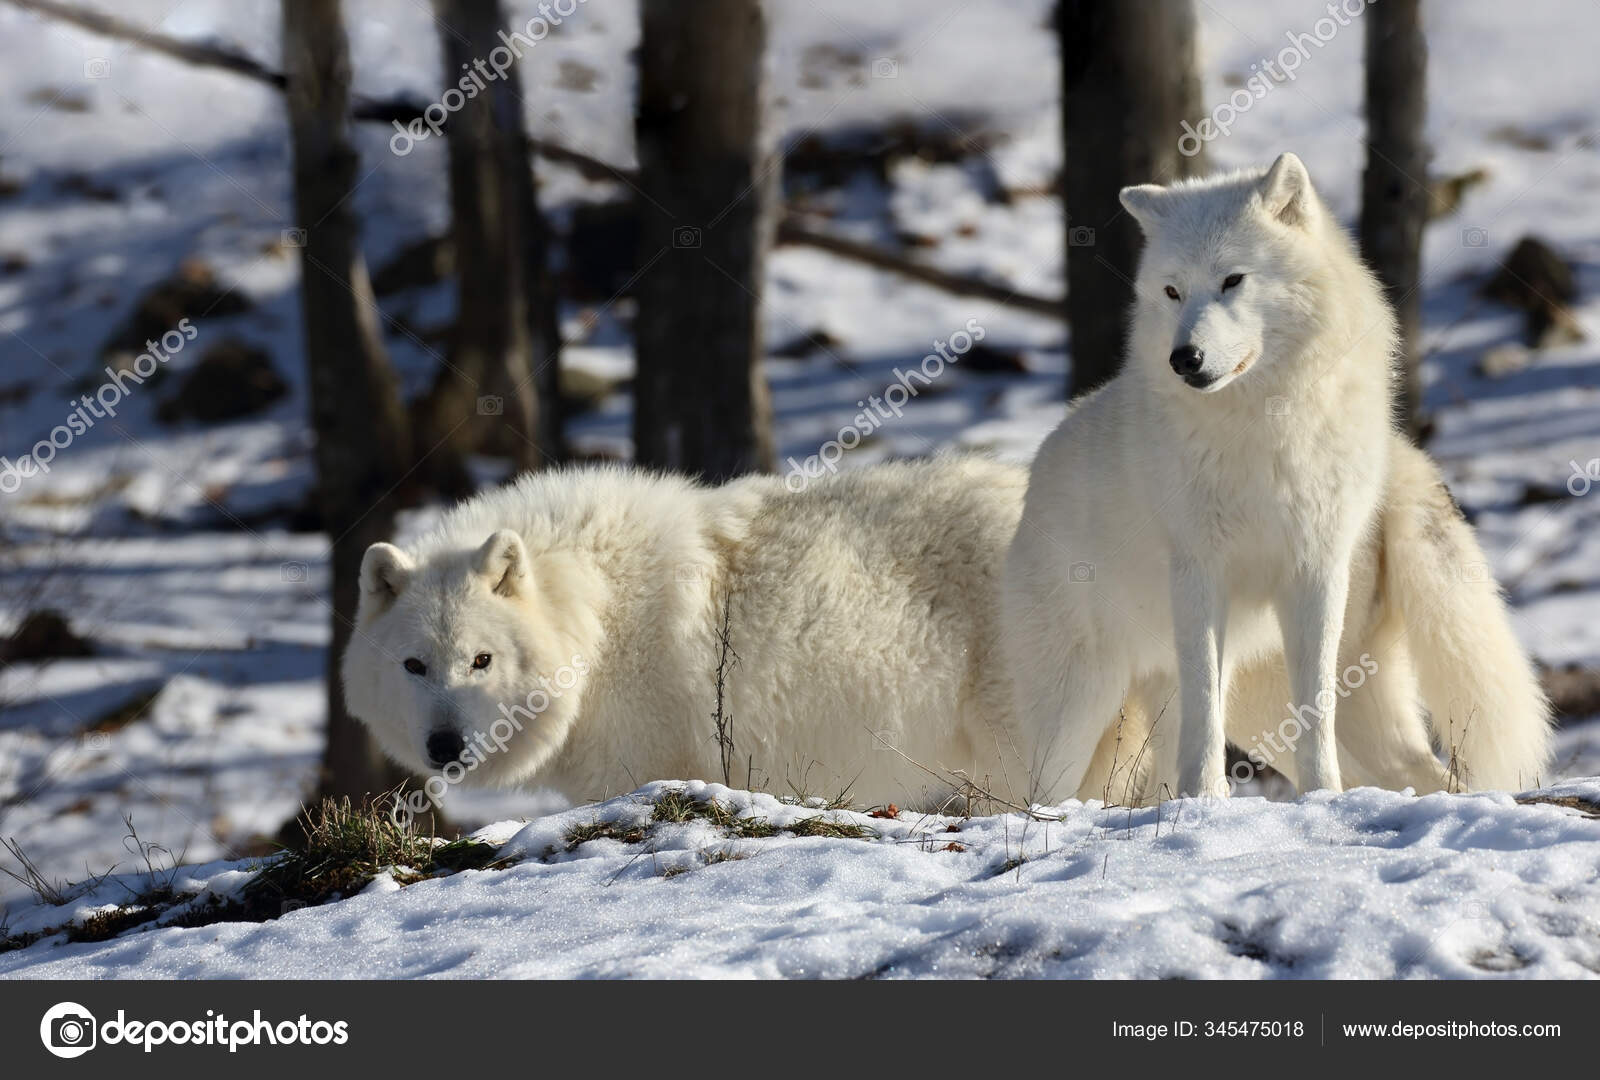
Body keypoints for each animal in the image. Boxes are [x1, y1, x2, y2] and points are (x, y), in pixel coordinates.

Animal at [1004, 152, 1551, 803]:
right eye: (1172, 291)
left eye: (1232, 280)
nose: (1184, 358)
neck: (1266, 429)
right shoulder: (1199, 573)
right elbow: (1206, 709)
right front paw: (1208, 802)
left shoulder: (1316, 572)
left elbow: (1313, 707)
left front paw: (1319, 799)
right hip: (1081, 706)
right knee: (1043, 791)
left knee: (1419, 771)